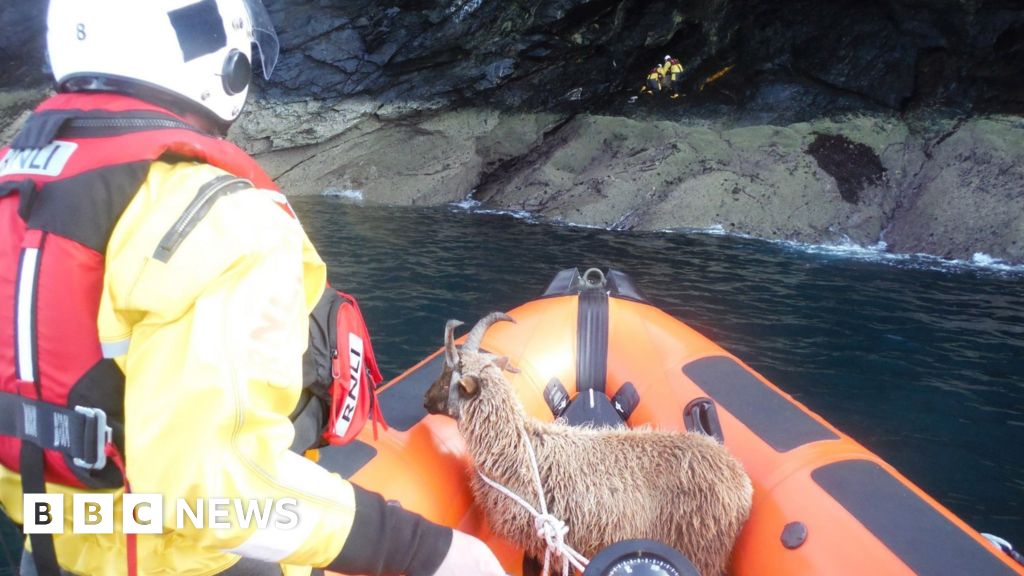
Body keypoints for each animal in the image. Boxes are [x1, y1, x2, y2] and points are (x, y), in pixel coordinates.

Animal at [423, 312, 754, 576]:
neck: (517, 449)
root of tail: (740, 480)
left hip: (701, 548)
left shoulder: (547, 544)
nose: (424, 400)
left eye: (448, 376)